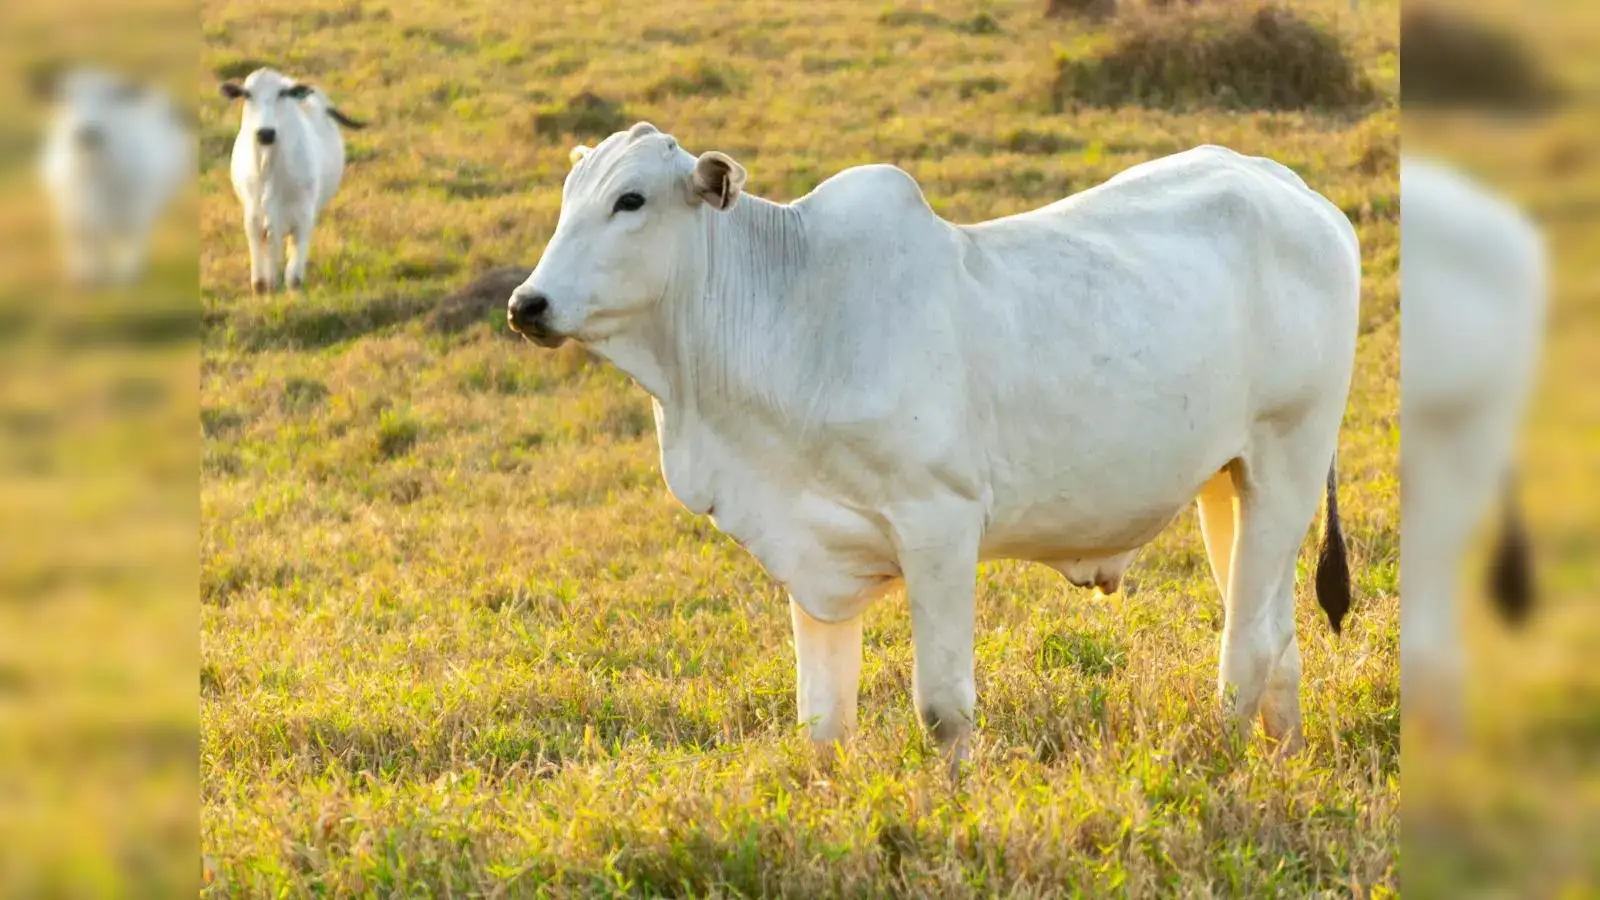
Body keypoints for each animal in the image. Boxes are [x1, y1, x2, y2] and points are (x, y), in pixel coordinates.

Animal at [36, 67, 194, 288]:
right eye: (65, 96)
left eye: (110, 96)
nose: (87, 132)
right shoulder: (73, 210)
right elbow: (84, 239)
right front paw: (85, 276)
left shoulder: (135, 209)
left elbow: (130, 239)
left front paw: (126, 277)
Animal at [219, 67, 365, 294]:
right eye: (247, 94)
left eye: (282, 93)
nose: (266, 133)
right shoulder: (252, 218)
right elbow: (260, 281)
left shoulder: (304, 217)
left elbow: (294, 277)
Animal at [508, 122, 1360, 770]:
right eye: (568, 199)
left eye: (630, 200)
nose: (527, 304)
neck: (792, 312)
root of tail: (1289, 186)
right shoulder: (810, 547)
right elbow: (823, 722)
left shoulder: (940, 526)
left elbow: (943, 710)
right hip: (1228, 482)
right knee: (1277, 635)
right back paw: (1287, 760)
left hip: (1290, 455)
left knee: (1247, 647)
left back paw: (1216, 764)